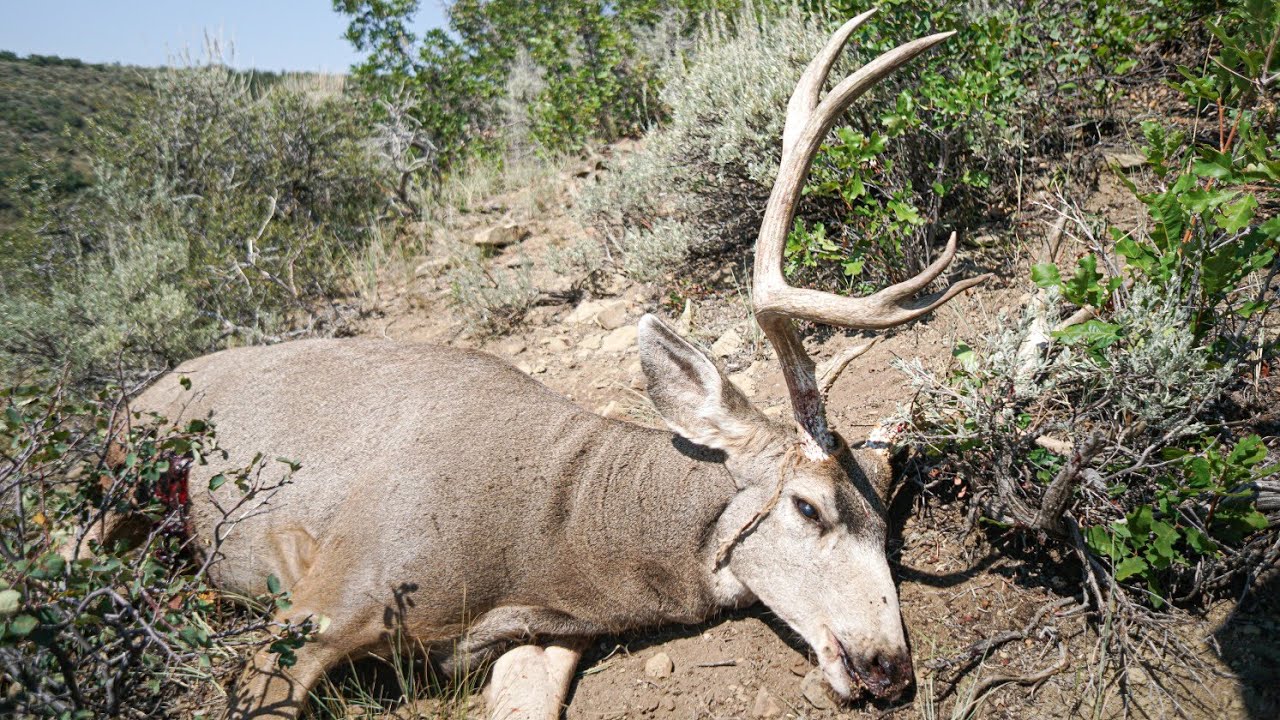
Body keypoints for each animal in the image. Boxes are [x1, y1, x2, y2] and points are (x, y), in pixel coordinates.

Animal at [84, 11, 988, 719]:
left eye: (888, 527)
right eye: (809, 508)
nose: (888, 666)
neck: (551, 534)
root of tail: (137, 395)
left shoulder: (542, 638)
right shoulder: (328, 593)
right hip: (124, 478)